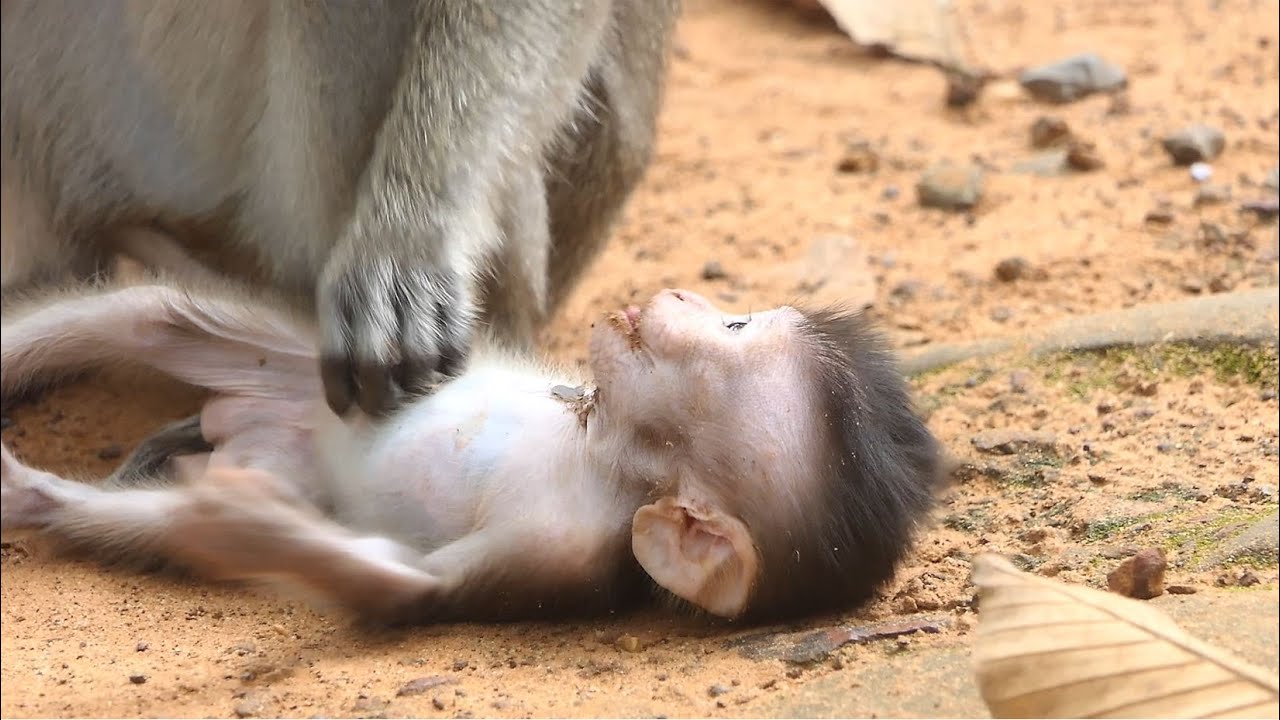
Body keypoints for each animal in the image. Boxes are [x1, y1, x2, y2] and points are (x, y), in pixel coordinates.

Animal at [0, 278, 943, 625]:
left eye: (735, 327)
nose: (682, 294)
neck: (599, 450)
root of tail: (260, 430)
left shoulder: (558, 551)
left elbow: (399, 582)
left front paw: (237, 522)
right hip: (318, 379)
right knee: (149, 313)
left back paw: (35, 495)